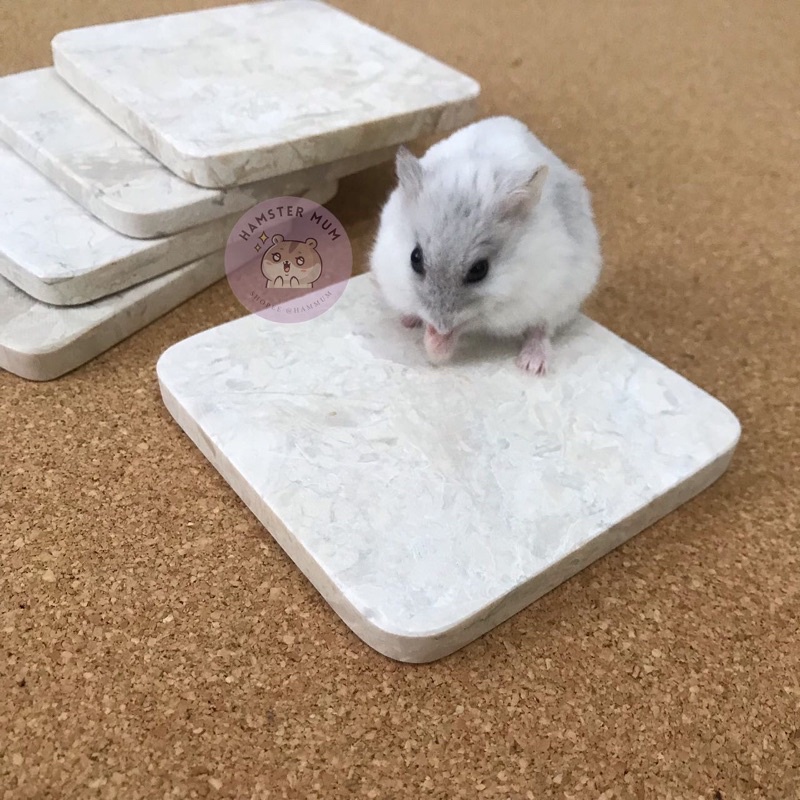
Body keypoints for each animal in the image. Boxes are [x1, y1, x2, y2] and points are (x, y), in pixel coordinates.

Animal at [370, 116, 602, 374]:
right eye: (415, 258)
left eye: (480, 270)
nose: (441, 325)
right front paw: (431, 341)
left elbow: (468, 323)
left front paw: (438, 350)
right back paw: (408, 320)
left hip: (565, 296)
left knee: (541, 327)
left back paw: (532, 365)